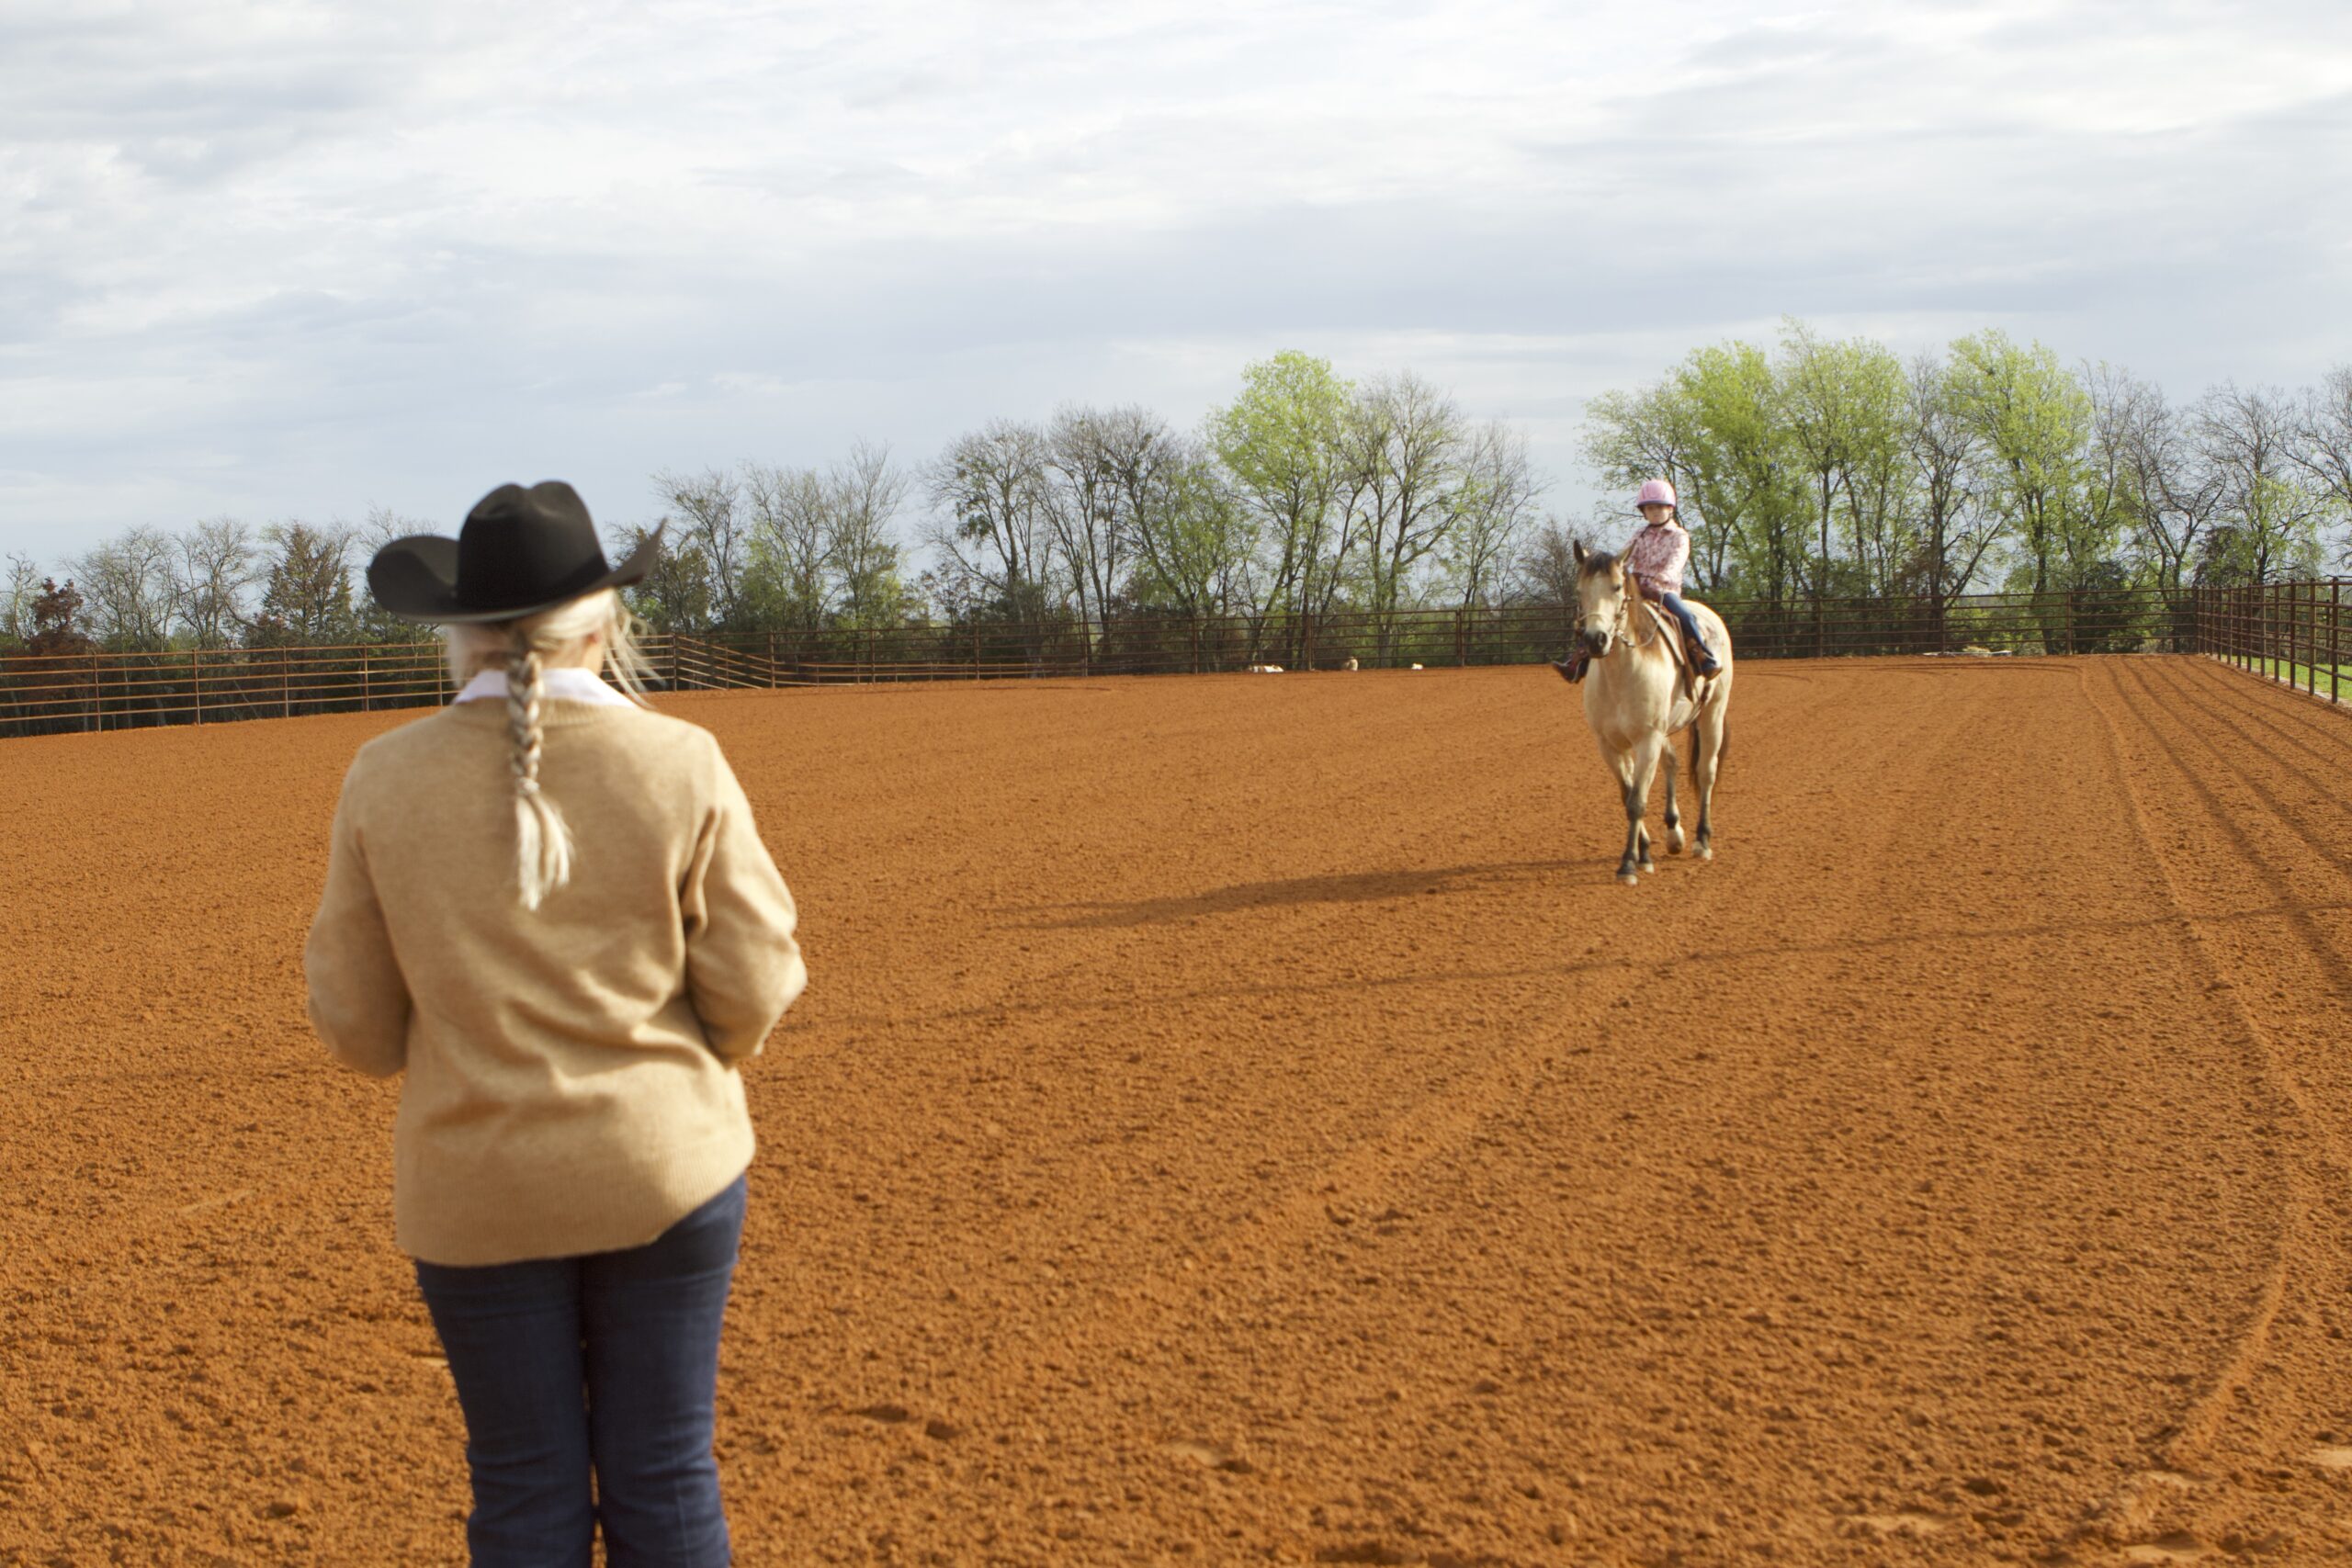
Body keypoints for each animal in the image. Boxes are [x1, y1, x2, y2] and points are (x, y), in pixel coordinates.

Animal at [1551, 543, 1733, 885]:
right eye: (1580, 590)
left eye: (1617, 587)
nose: (1595, 640)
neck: (1621, 672)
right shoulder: (1610, 744)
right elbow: (1628, 795)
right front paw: (1645, 854)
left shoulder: (1646, 739)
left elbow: (1637, 801)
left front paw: (1628, 864)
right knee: (1673, 763)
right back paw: (1674, 834)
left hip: (1712, 714)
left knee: (1706, 772)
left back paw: (1702, 841)